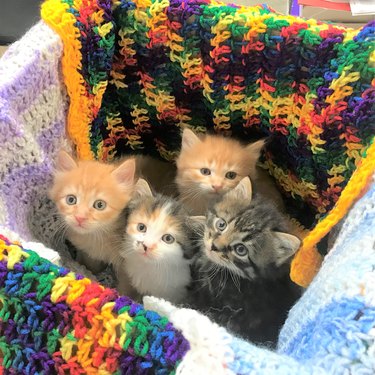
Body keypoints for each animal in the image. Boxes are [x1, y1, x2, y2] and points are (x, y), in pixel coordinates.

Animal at [49, 151, 137, 296]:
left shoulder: (127, 265)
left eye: (99, 205)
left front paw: (123, 296)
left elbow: (126, 286)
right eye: (71, 200)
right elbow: (90, 265)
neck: (97, 236)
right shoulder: (87, 251)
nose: (80, 217)